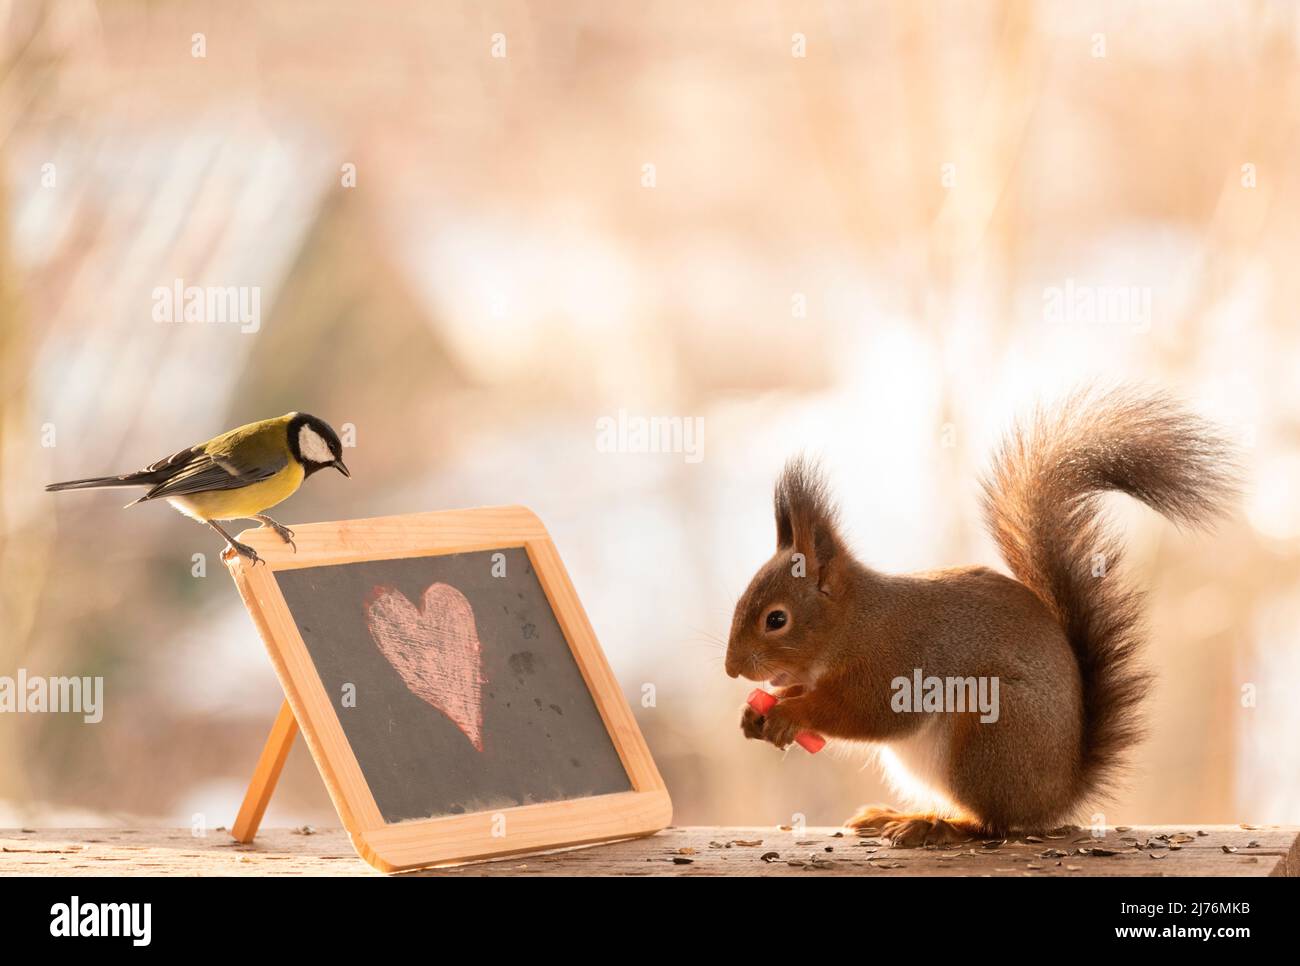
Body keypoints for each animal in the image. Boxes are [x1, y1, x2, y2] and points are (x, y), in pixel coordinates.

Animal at [725, 387, 1238, 846]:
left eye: (776, 619)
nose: (732, 668)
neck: (853, 624)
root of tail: (1057, 795)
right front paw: (758, 714)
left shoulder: (893, 666)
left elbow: (862, 713)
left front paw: (789, 712)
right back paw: (896, 815)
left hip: (987, 731)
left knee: (995, 824)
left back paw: (938, 827)